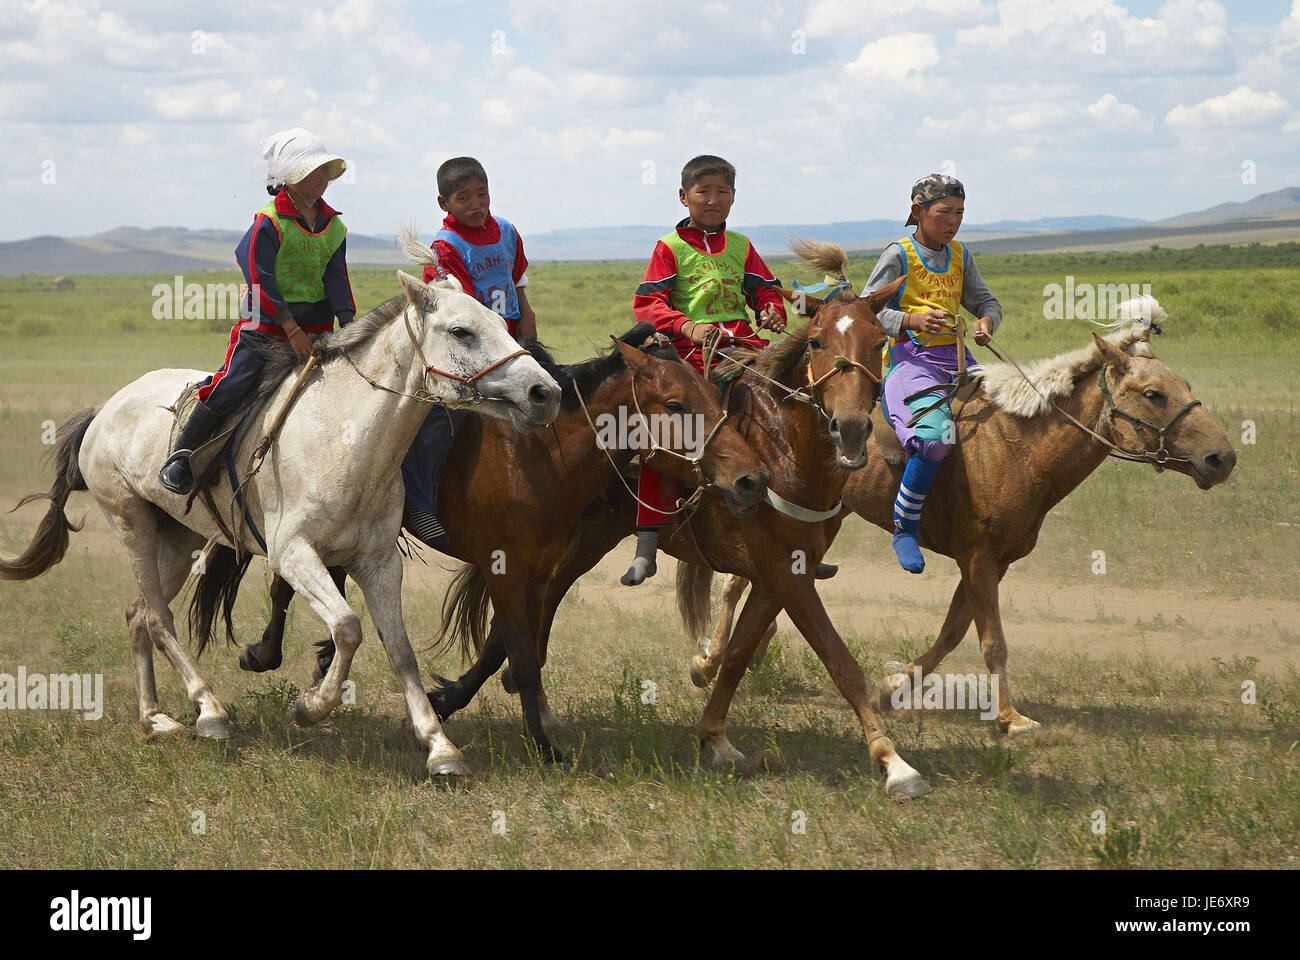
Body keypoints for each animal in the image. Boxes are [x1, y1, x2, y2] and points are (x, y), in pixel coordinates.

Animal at [0, 228, 561, 781]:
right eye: (462, 331)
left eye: (502, 322)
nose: (545, 393)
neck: (346, 438)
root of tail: (104, 409)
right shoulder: (292, 553)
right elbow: (347, 628)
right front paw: (310, 707)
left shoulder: (378, 562)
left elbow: (400, 650)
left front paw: (439, 746)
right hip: (130, 521)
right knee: (158, 619)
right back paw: (209, 713)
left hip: (178, 539)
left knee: (138, 615)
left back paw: (154, 717)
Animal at [193, 323, 770, 763]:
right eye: (674, 403)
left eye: (715, 397)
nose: (751, 479)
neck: (539, 457)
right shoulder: (505, 570)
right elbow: (520, 653)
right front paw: (543, 747)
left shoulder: (539, 574)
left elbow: (507, 649)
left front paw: (451, 702)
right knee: (283, 587)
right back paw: (265, 654)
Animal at [427, 241, 932, 797]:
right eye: (818, 340)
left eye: (880, 341)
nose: (851, 427)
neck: (781, 447)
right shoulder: (784, 572)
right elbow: (839, 660)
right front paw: (895, 763)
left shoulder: (778, 577)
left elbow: (737, 657)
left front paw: (716, 737)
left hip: (583, 539)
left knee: (531, 615)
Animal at [695, 303, 1237, 738]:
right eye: (1153, 394)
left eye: (1185, 387)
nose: (1222, 458)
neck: (1017, 445)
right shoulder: (978, 555)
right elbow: (992, 639)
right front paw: (1011, 718)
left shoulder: (991, 560)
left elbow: (955, 630)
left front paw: (893, 687)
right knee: (735, 585)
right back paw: (708, 660)